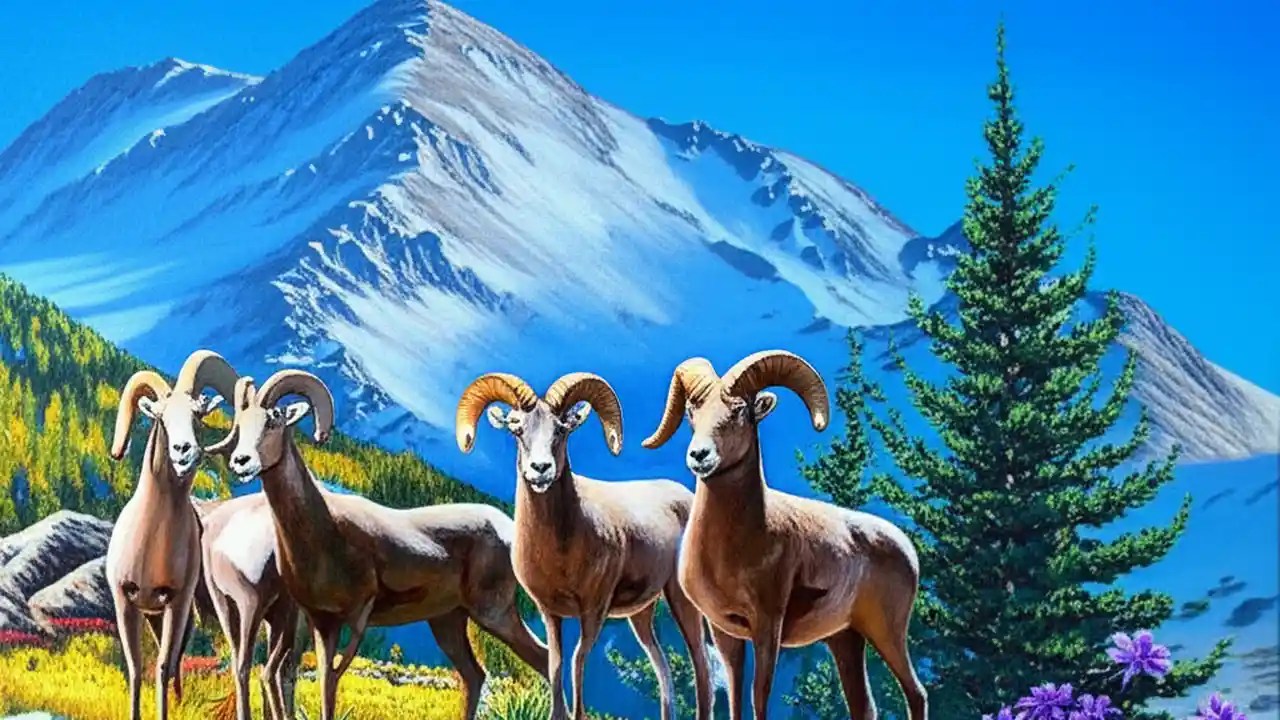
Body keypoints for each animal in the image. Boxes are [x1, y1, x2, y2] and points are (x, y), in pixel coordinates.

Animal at [105, 350, 240, 720]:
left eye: (197, 416)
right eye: (162, 417)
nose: (183, 450)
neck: (152, 543)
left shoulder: (175, 606)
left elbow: (163, 667)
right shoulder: (126, 602)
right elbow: (136, 668)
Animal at [204, 369, 551, 720]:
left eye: (273, 422)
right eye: (240, 425)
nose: (241, 461)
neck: (324, 531)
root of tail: (508, 530)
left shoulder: (357, 618)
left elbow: (331, 680)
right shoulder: (322, 622)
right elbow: (324, 682)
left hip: (493, 612)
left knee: (544, 660)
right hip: (448, 621)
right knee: (474, 675)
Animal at [456, 372, 716, 720]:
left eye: (561, 429)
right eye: (517, 429)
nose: (540, 469)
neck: (561, 552)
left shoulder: (593, 610)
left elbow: (578, 660)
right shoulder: (549, 612)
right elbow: (555, 663)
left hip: (680, 598)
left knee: (701, 662)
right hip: (642, 613)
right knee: (663, 666)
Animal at [642, 350, 927, 720]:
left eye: (739, 411)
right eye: (693, 412)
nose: (699, 455)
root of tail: (906, 548)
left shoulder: (768, 629)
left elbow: (758, 698)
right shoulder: (724, 632)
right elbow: (735, 697)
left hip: (887, 631)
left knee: (915, 693)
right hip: (846, 639)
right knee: (864, 706)